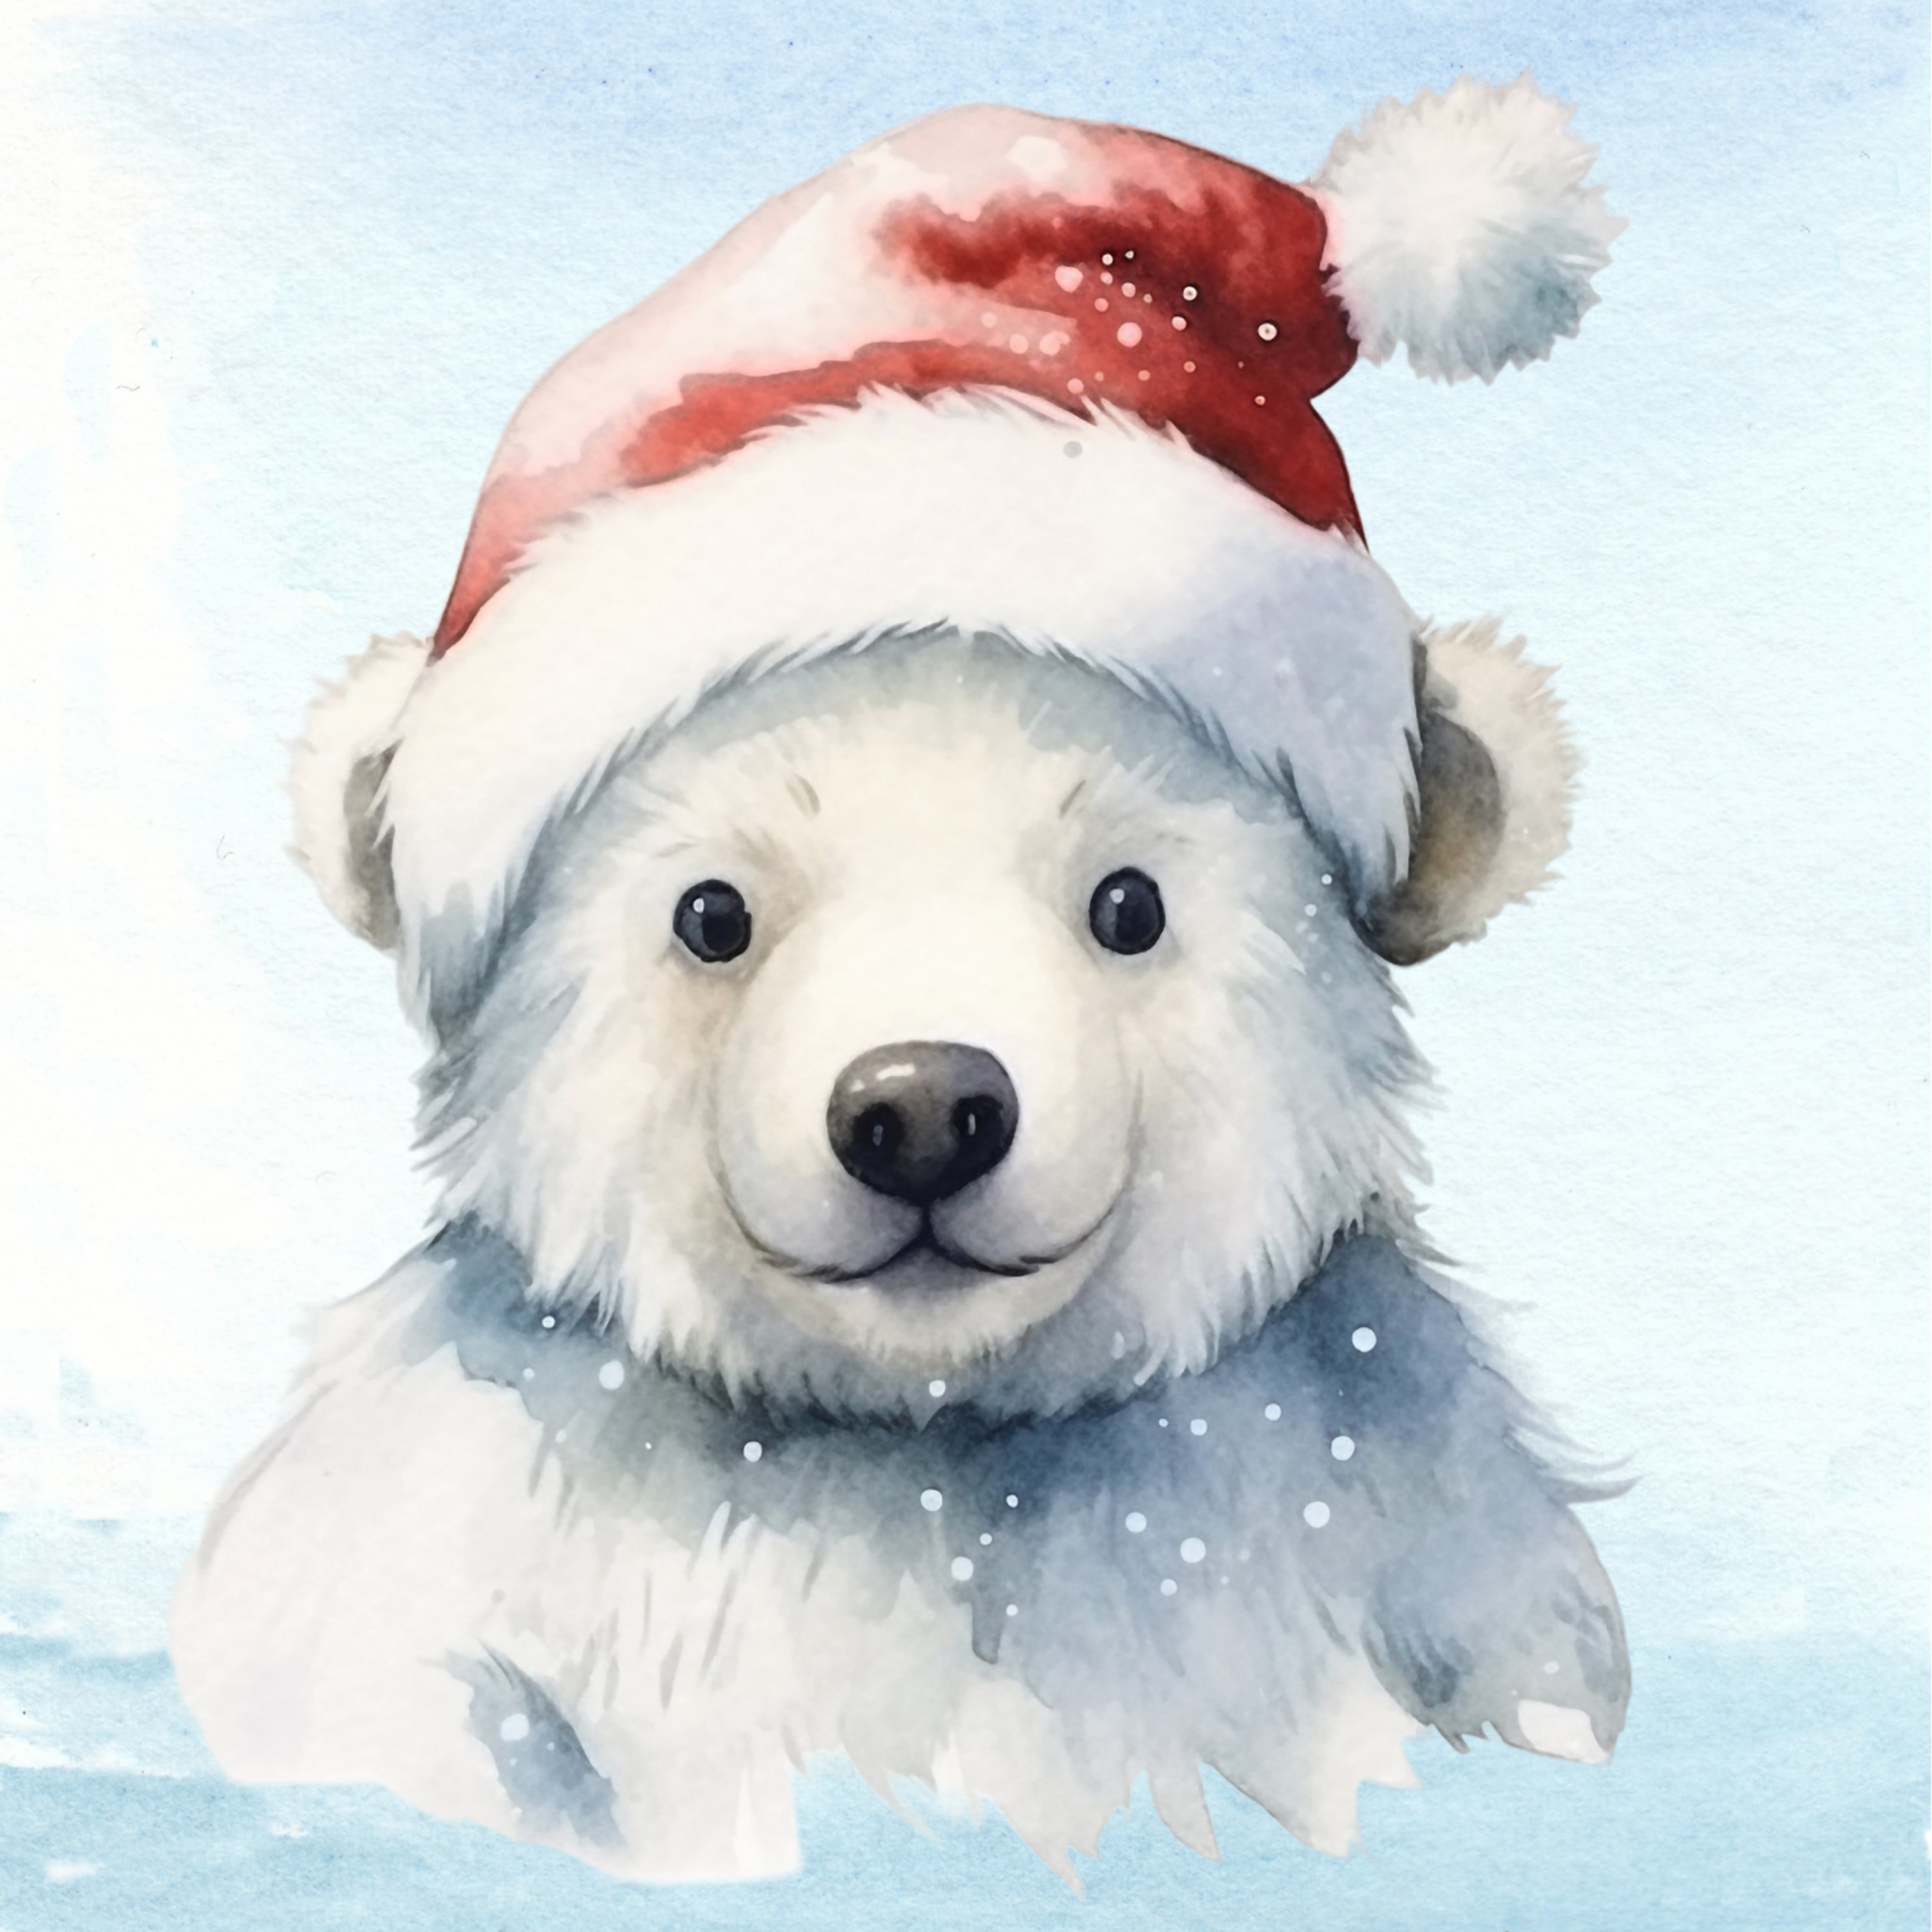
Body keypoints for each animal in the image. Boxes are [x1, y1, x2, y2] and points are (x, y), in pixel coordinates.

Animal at [171, 89, 1629, 1886]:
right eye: (712, 914)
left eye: (1129, 904)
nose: (923, 1107)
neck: (925, 1456)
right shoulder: (450, 1552)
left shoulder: (1404, 1534)